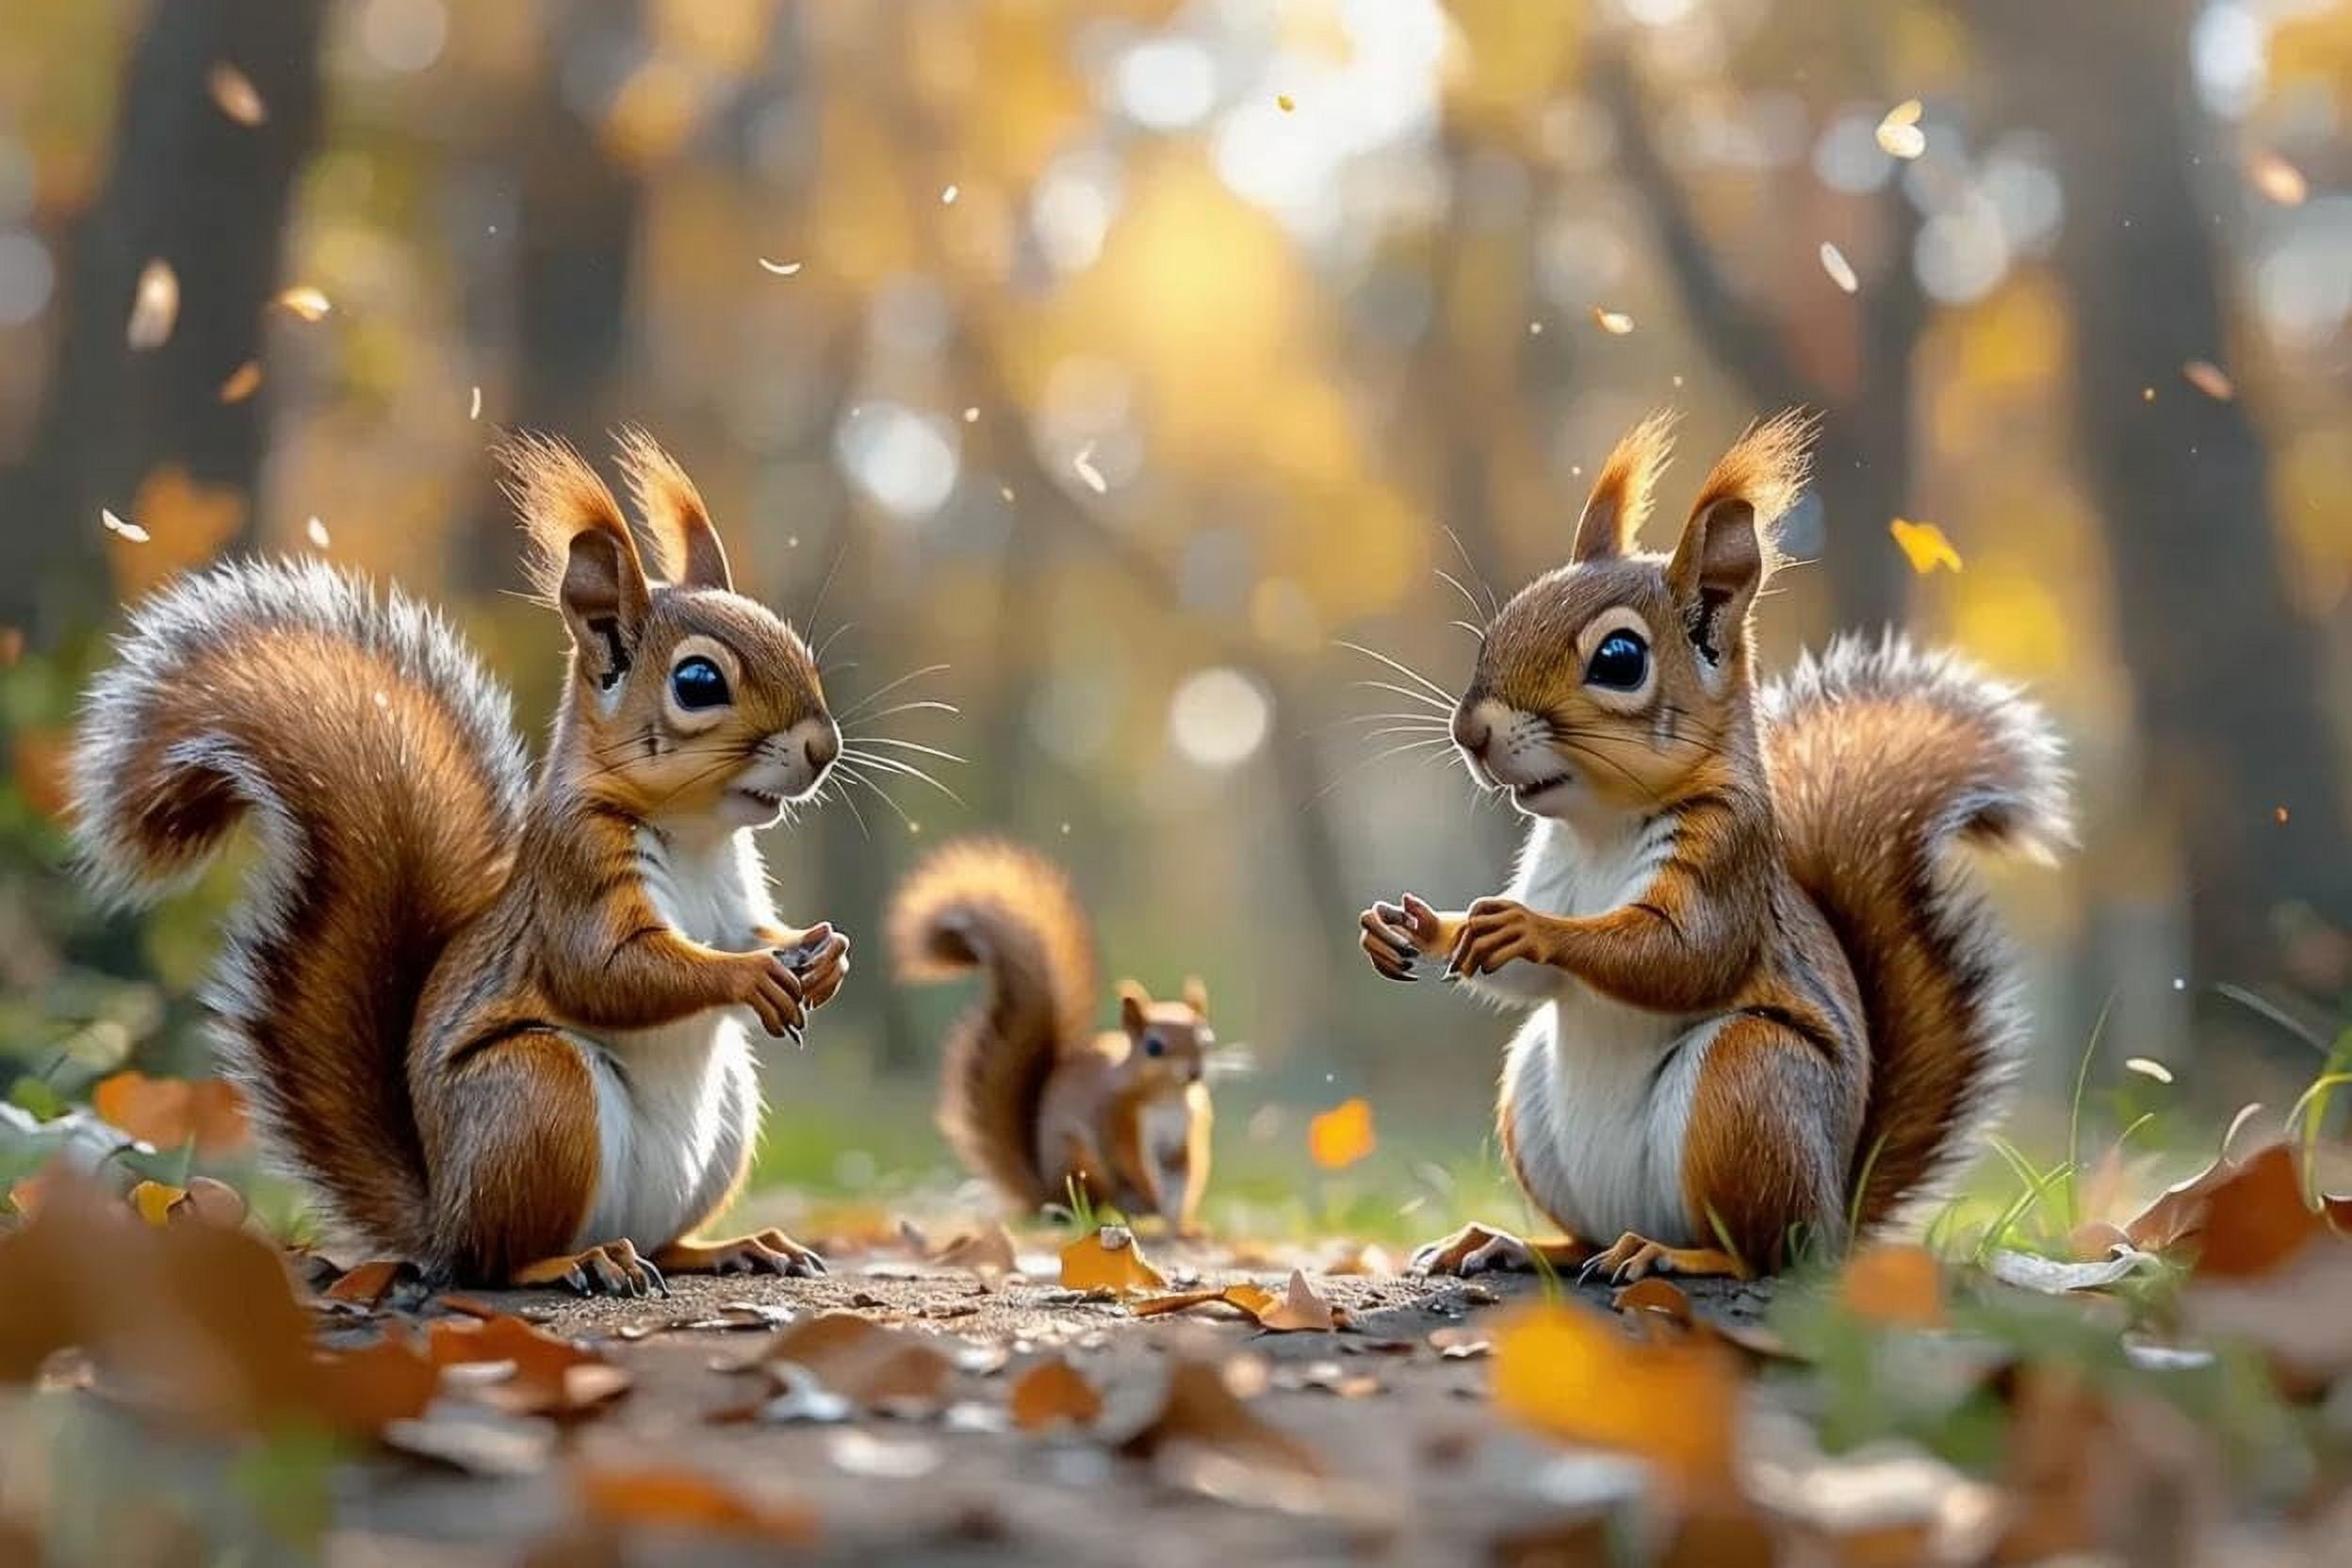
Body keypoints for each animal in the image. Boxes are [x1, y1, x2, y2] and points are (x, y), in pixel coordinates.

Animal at [68, 430, 856, 1294]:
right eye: (699, 680)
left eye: (798, 646)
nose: (823, 747)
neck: (696, 833)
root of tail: (441, 1218)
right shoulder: (577, 871)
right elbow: (607, 969)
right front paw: (747, 979)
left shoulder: (736, 893)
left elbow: (751, 932)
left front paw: (822, 958)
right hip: (535, 1095)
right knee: (502, 1260)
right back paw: (579, 1259)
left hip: (719, 1129)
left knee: (666, 1244)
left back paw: (731, 1247)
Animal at [889, 839, 1215, 1233]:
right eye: (1154, 1046)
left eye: (1206, 1038)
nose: (1194, 1072)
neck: (1167, 1098)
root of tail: (1040, 1192)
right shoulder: (1115, 1119)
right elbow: (1133, 1163)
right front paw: (1151, 1197)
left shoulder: (1187, 1132)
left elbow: (1185, 1177)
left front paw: (1183, 1227)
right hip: (1080, 1164)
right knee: (1095, 1203)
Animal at [1359, 410, 2070, 1282]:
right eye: (1498, 626)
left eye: (1619, 659)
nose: (1471, 732)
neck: (1601, 827)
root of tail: (1834, 1220)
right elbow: (1528, 985)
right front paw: (1412, 926)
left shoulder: (1725, 858)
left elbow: (1683, 954)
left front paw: (1532, 930)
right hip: (1534, 1104)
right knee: (1584, 1237)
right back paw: (1510, 1242)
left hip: (1750, 1089)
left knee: (1758, 1253)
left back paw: (1673, 1256)